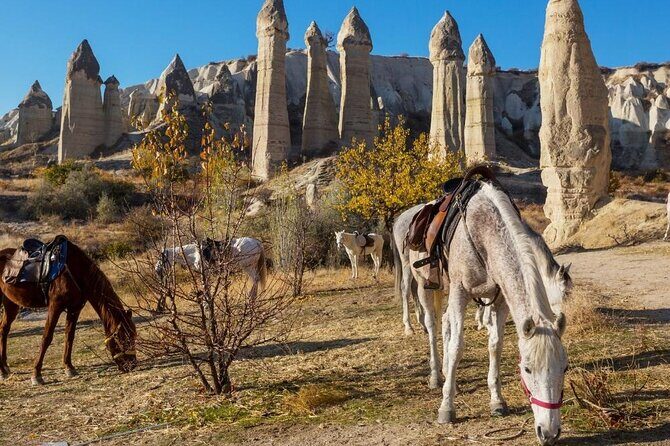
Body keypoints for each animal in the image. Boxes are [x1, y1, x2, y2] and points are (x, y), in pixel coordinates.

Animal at [0, 240, 137, 385]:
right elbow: (47, 337)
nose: (132, 365)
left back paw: (5, 369)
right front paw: (36, 374)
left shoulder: (74, 309)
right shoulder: (55, 306)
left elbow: (69, 336)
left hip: (11, 303)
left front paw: (69, 367)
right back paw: (3, 371)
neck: (76, 271)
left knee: (4, 329)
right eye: (125, 339)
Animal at [436, 181, 568, 446]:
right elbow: (457, 347)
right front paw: (446, 407)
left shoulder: (501, 299)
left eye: (565, 368)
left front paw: (497, 401)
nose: (549, 432)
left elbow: (495, 345)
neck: (483, 230)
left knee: (445, 322)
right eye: (526, 369)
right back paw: (437, 376)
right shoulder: (459, 291)